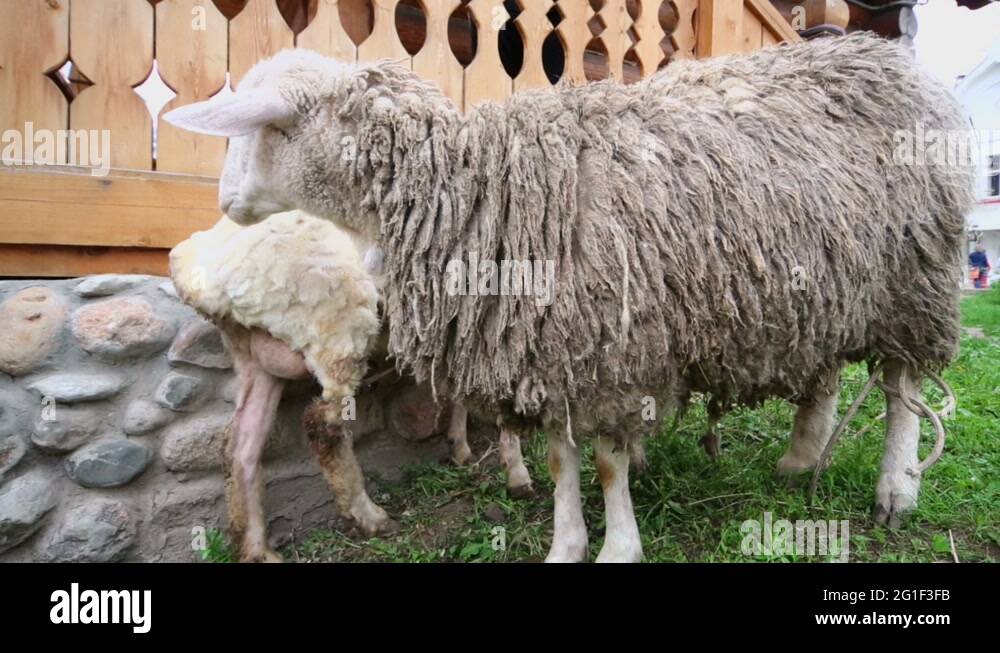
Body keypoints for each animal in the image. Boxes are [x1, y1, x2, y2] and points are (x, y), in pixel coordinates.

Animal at [170, 211, 533, 561]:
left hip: (253, 355)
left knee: (241, 446)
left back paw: (257, 549)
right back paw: (369, 516)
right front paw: (518, 476)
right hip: (336, 326)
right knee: (322, 425)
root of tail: (203, 266)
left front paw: (460, 447)